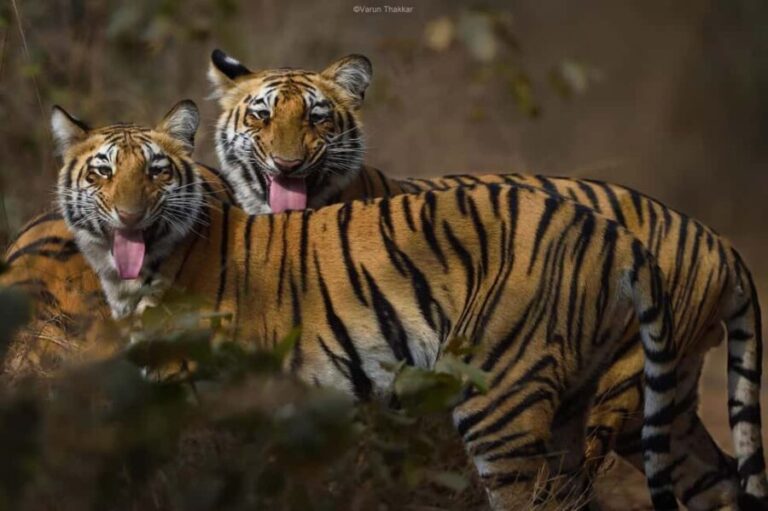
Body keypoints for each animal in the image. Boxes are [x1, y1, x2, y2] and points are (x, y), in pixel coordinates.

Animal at [50, 104, 681, 510]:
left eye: (156, 171)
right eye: (103, 170)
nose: (130, 216)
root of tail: (610, 229)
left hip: (500, 395)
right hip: (571, 405)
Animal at [207, 49, 768, 509]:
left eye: (317, 118)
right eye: (261, 115)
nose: (288, 164)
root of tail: (717, 242)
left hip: (623, 392)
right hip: (664, 406)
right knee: (719, 480)